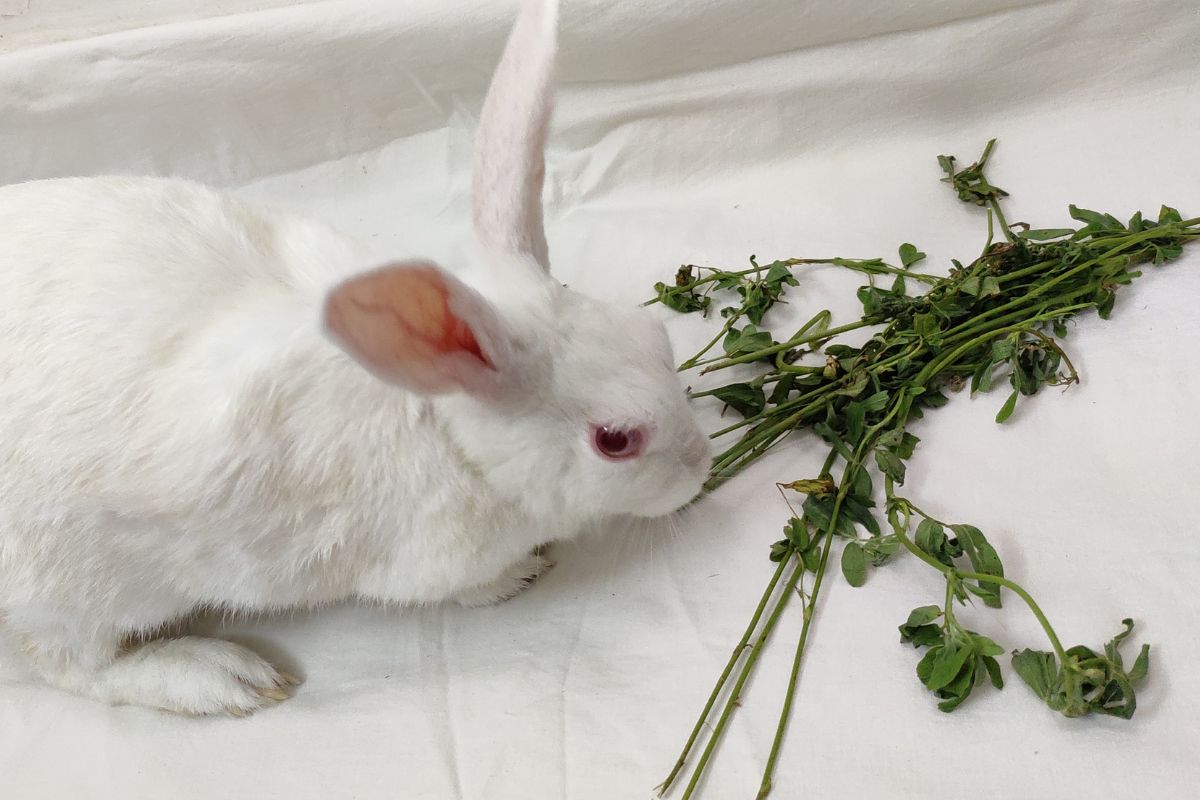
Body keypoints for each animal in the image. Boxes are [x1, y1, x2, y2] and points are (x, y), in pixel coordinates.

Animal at [0, 0, 711, 716]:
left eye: (656, 337)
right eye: (614, 440)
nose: (701, 468)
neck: (455, 436)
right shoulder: (428, 561)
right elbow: (469, 588)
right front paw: (522, 573)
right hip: (76, 594)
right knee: (75, 667)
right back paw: (223, 678)